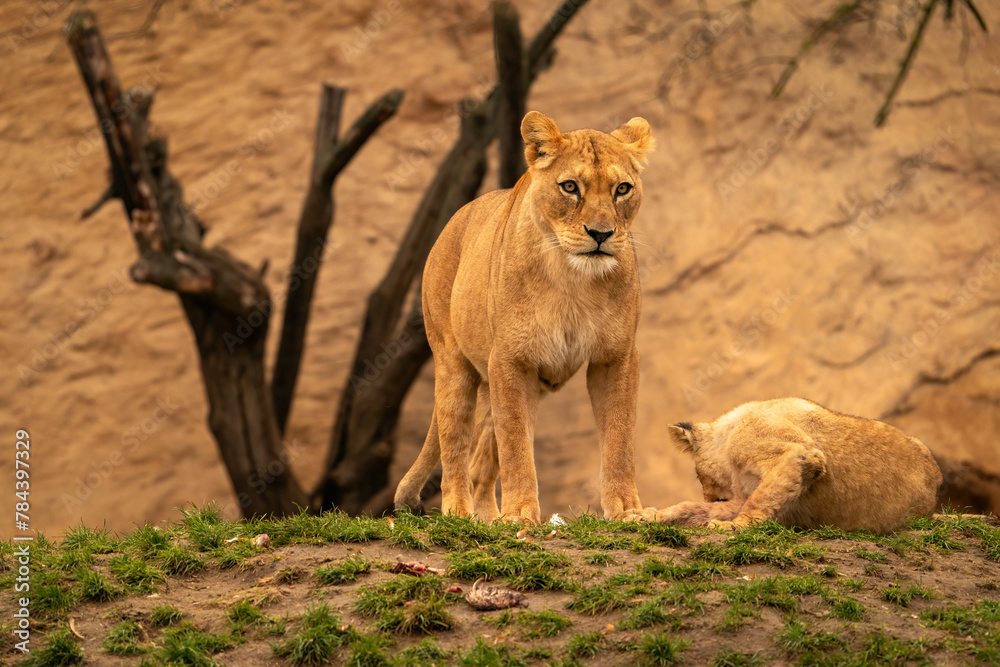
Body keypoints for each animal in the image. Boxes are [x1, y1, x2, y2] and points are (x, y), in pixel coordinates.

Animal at [394, 110, 655, 524]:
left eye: (622, 189)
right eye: (570, 187)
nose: (600, 234)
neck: (572, 279)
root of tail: (455, 219)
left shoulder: (616, 357)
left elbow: (619, 437)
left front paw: (628, 510)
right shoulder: (512, 360)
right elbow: (516, 445)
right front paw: (520, 515)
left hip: (505, 385)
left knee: (480, 463)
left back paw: (489, 521)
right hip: (454, 365)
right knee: (455, 450)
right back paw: (459, 513)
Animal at [657, 398, 942, 535]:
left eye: (698, 476)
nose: (709, 495)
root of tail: (937, 481)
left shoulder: (800, 453)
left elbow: (760, 500)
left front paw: (737, 527)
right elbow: (692, 508)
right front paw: (653, 515)